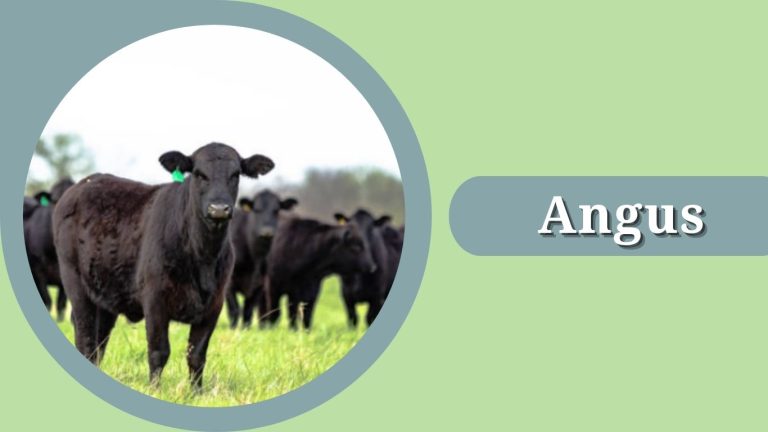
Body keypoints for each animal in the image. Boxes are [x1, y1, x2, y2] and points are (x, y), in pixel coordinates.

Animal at [53, 142, 273, 388]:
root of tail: (82, 185)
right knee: (86, 336)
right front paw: (154, 389)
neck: (202, 256)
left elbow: (197, 355)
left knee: (99, 341)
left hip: (105, 295)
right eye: (199, 173)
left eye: (235, 174)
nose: (218, 209)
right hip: (74, 282)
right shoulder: (155, 300)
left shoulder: (214, 305)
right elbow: (159, 351)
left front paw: (196, 392)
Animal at [226, 190, 297, 329]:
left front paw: (245, 330)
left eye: (276, 210)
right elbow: (234, 310)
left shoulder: (260, 284)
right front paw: (233, 329)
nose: (267, 232)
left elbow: (248, 311)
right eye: (257, 210)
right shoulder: (228, 283)